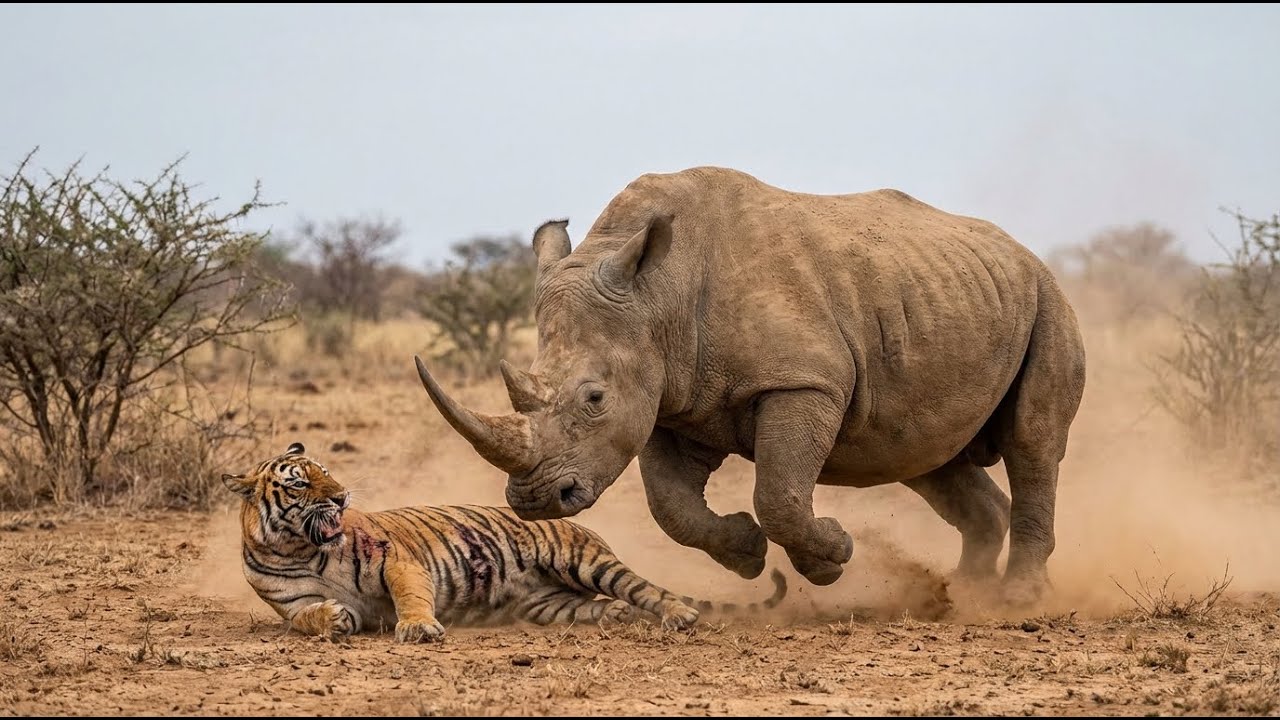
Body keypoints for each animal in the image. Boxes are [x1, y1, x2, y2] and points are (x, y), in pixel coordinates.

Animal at [221, 443, 786, 642]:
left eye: (327, 472)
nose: (340, 498)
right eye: (301, 483)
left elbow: (410, 596)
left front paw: (419, 628)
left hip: (585, 559)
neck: (299, 546)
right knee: (597, 606)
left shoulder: (398, 562)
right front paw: (334, 619)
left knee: (643, 586)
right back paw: (617, 616)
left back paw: (678, 615)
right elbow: (307, 617)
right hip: (549, 606)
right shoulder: (292, 603)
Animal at [414, 167, 1086, 598]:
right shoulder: (667, 397)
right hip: (947, 297)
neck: (658, 297)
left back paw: (1015, 600)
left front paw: (832, 558)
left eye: (594, 398)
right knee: (929, 458)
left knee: (1031, 442)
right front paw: (747, 552)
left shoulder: (804, 381)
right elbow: (671, 508)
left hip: (1047, 299)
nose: (534, 502)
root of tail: (1023, 252)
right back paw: (961, 594)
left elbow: (779, 493)